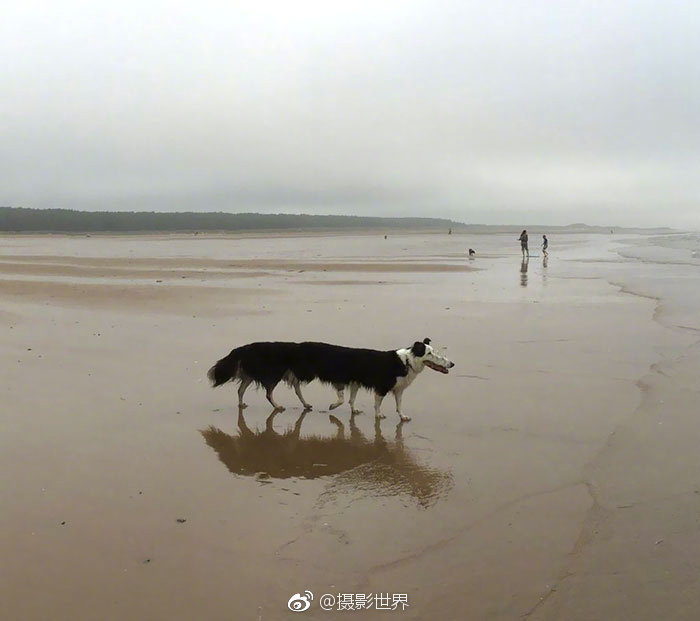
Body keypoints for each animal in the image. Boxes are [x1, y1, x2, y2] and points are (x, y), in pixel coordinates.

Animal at [206, 340, 454, 422]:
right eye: (430, 353)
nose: (452, 364)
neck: (406, 361)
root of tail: (247, 347)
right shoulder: (376, 386)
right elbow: (360, 401)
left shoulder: (391, 388)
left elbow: (396, 404)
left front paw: (402, 417)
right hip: (274, 374)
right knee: (267, 392)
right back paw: (278, 406)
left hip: (279, 374)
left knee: (242, 388)